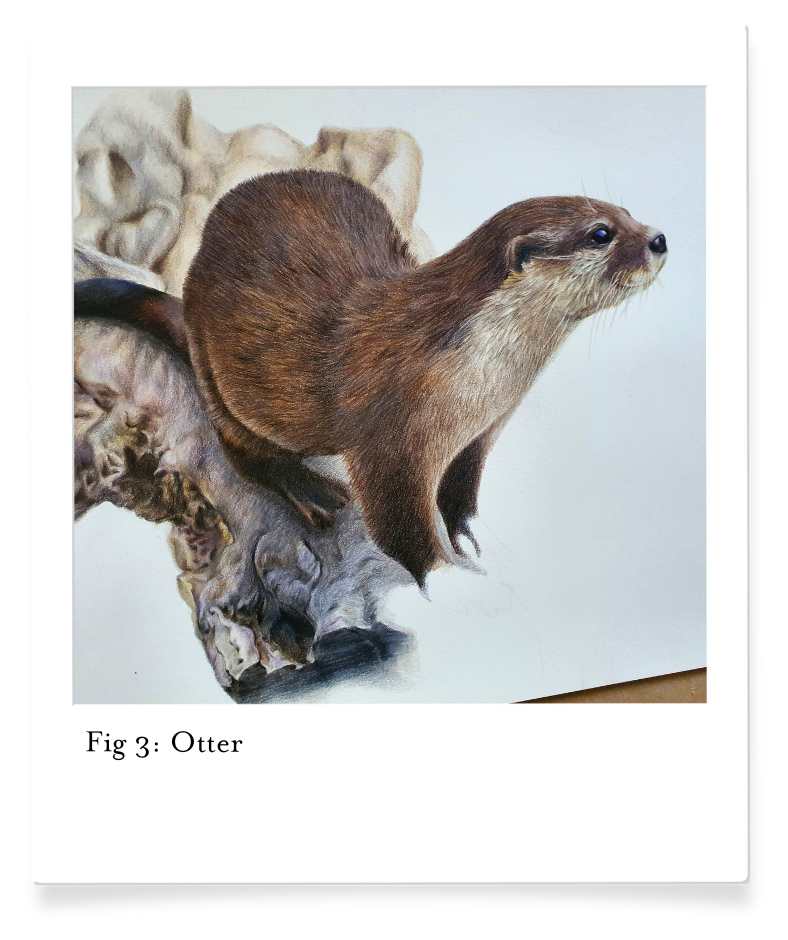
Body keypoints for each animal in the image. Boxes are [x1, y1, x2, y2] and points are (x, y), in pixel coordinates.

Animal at [77, 169, 667, 588]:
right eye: (601, 234)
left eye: (626, 212)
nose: (659, 238)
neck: (480, 379)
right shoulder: (390, 440)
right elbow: (403, 529)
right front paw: (444, 577)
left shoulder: (484, 428)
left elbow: (462, 488)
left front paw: (468, 534)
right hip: (214, 364)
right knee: (241, 450)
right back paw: (312, 491)